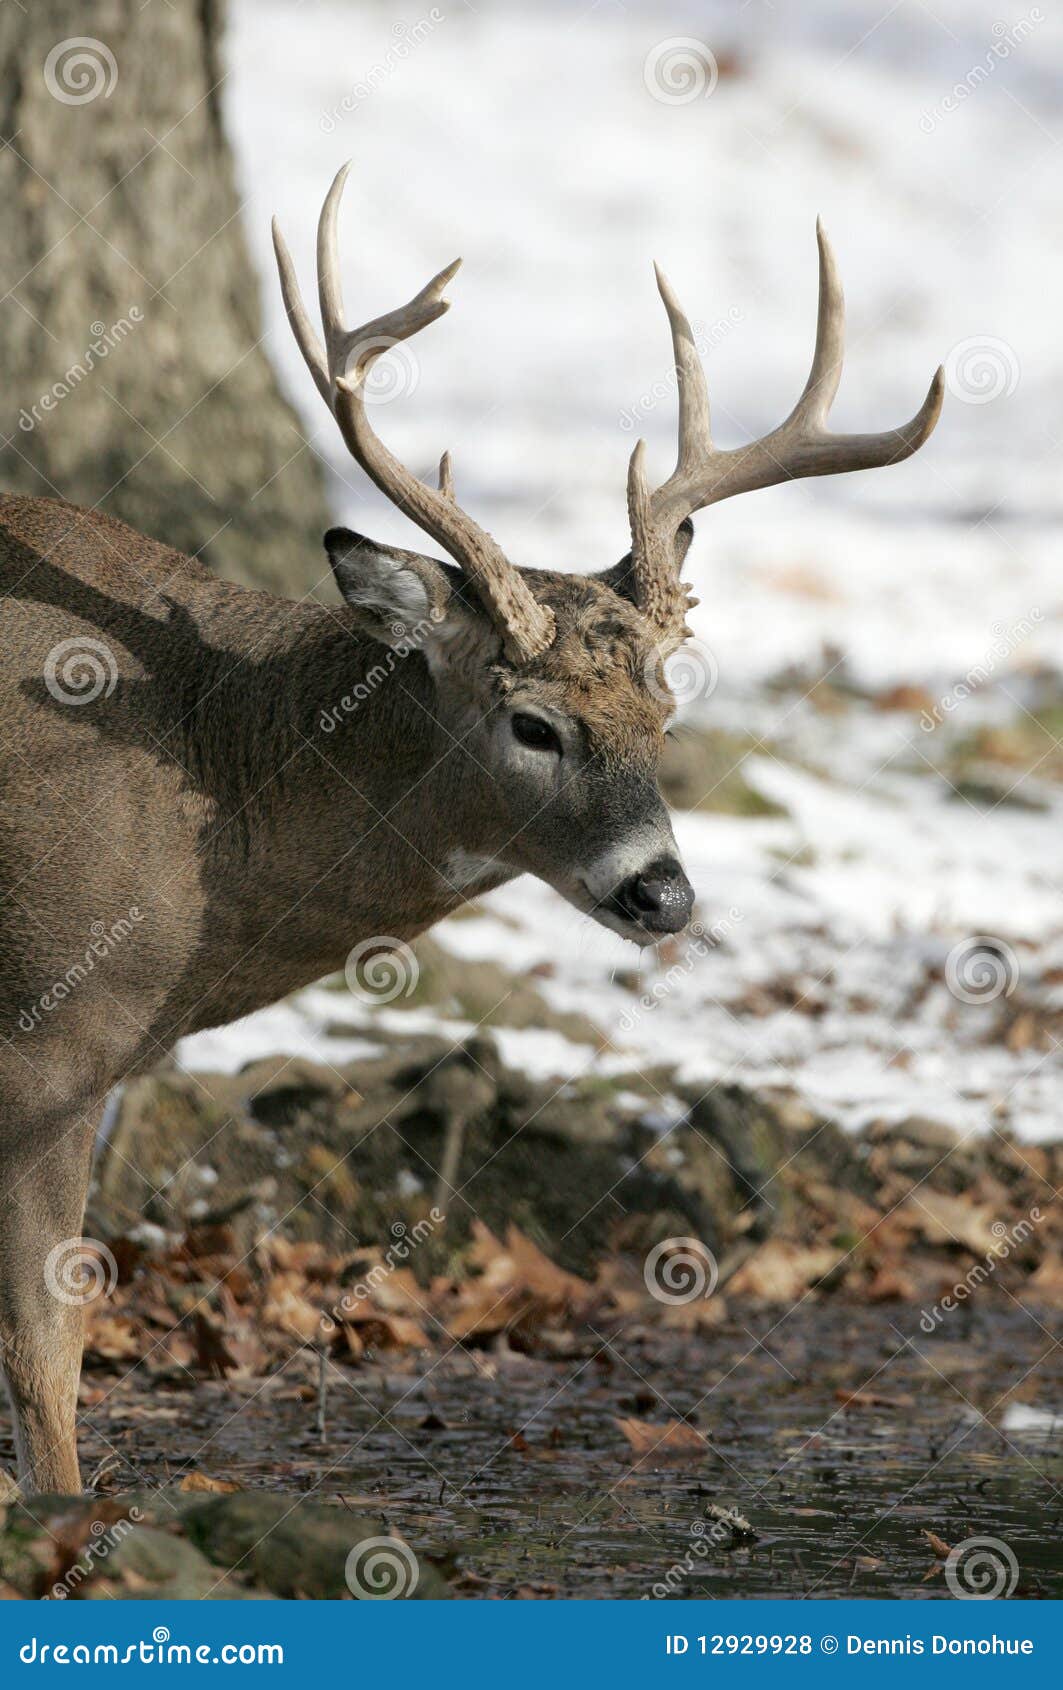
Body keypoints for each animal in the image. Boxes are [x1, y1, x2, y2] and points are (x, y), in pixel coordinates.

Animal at [0, 163, 943, 1493]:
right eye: (534, 723)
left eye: (665, 712)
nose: (664, 893)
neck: (208, 770)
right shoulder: (47, 1028)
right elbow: (49, 1344)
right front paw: (62, 1515)